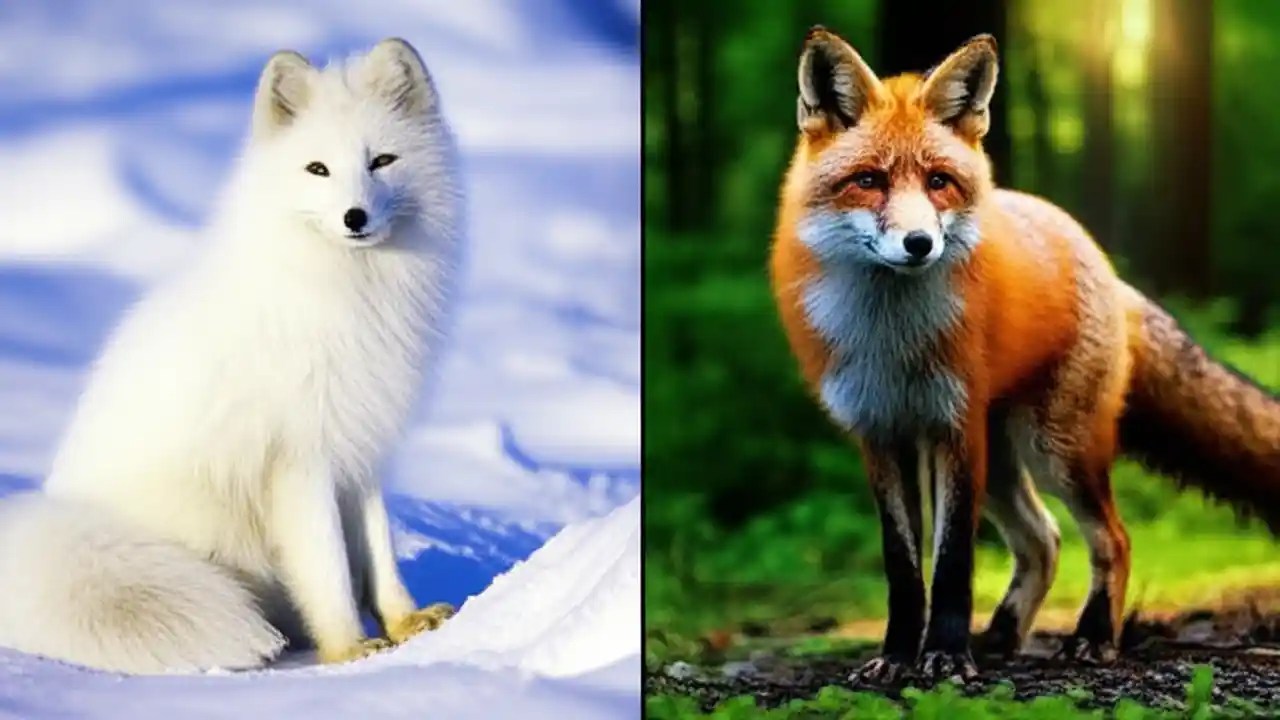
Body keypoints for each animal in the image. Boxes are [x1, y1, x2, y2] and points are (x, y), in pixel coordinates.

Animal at [0, 38, 464, 674]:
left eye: (383, 161)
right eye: (317, 169)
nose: (355, 218)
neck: (350, 292)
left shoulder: (362, 447)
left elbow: (378, 551)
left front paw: (406, 622)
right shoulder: (299, 460)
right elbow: (328, 569)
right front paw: (349, 651)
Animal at [770, 28, 1280, 684]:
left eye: (939, 182)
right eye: (869, 180)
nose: (920, 243)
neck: (895, 342)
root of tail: (1100, 261)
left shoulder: (955, 430)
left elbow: (953, 565)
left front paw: (944, 657)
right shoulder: (881, 435)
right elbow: (905, 569)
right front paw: (899, 657)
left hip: (1055, 449)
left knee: (1111, 538)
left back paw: (1091, 638)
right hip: (1004, 465)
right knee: (1045, 539)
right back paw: (1003, 636)